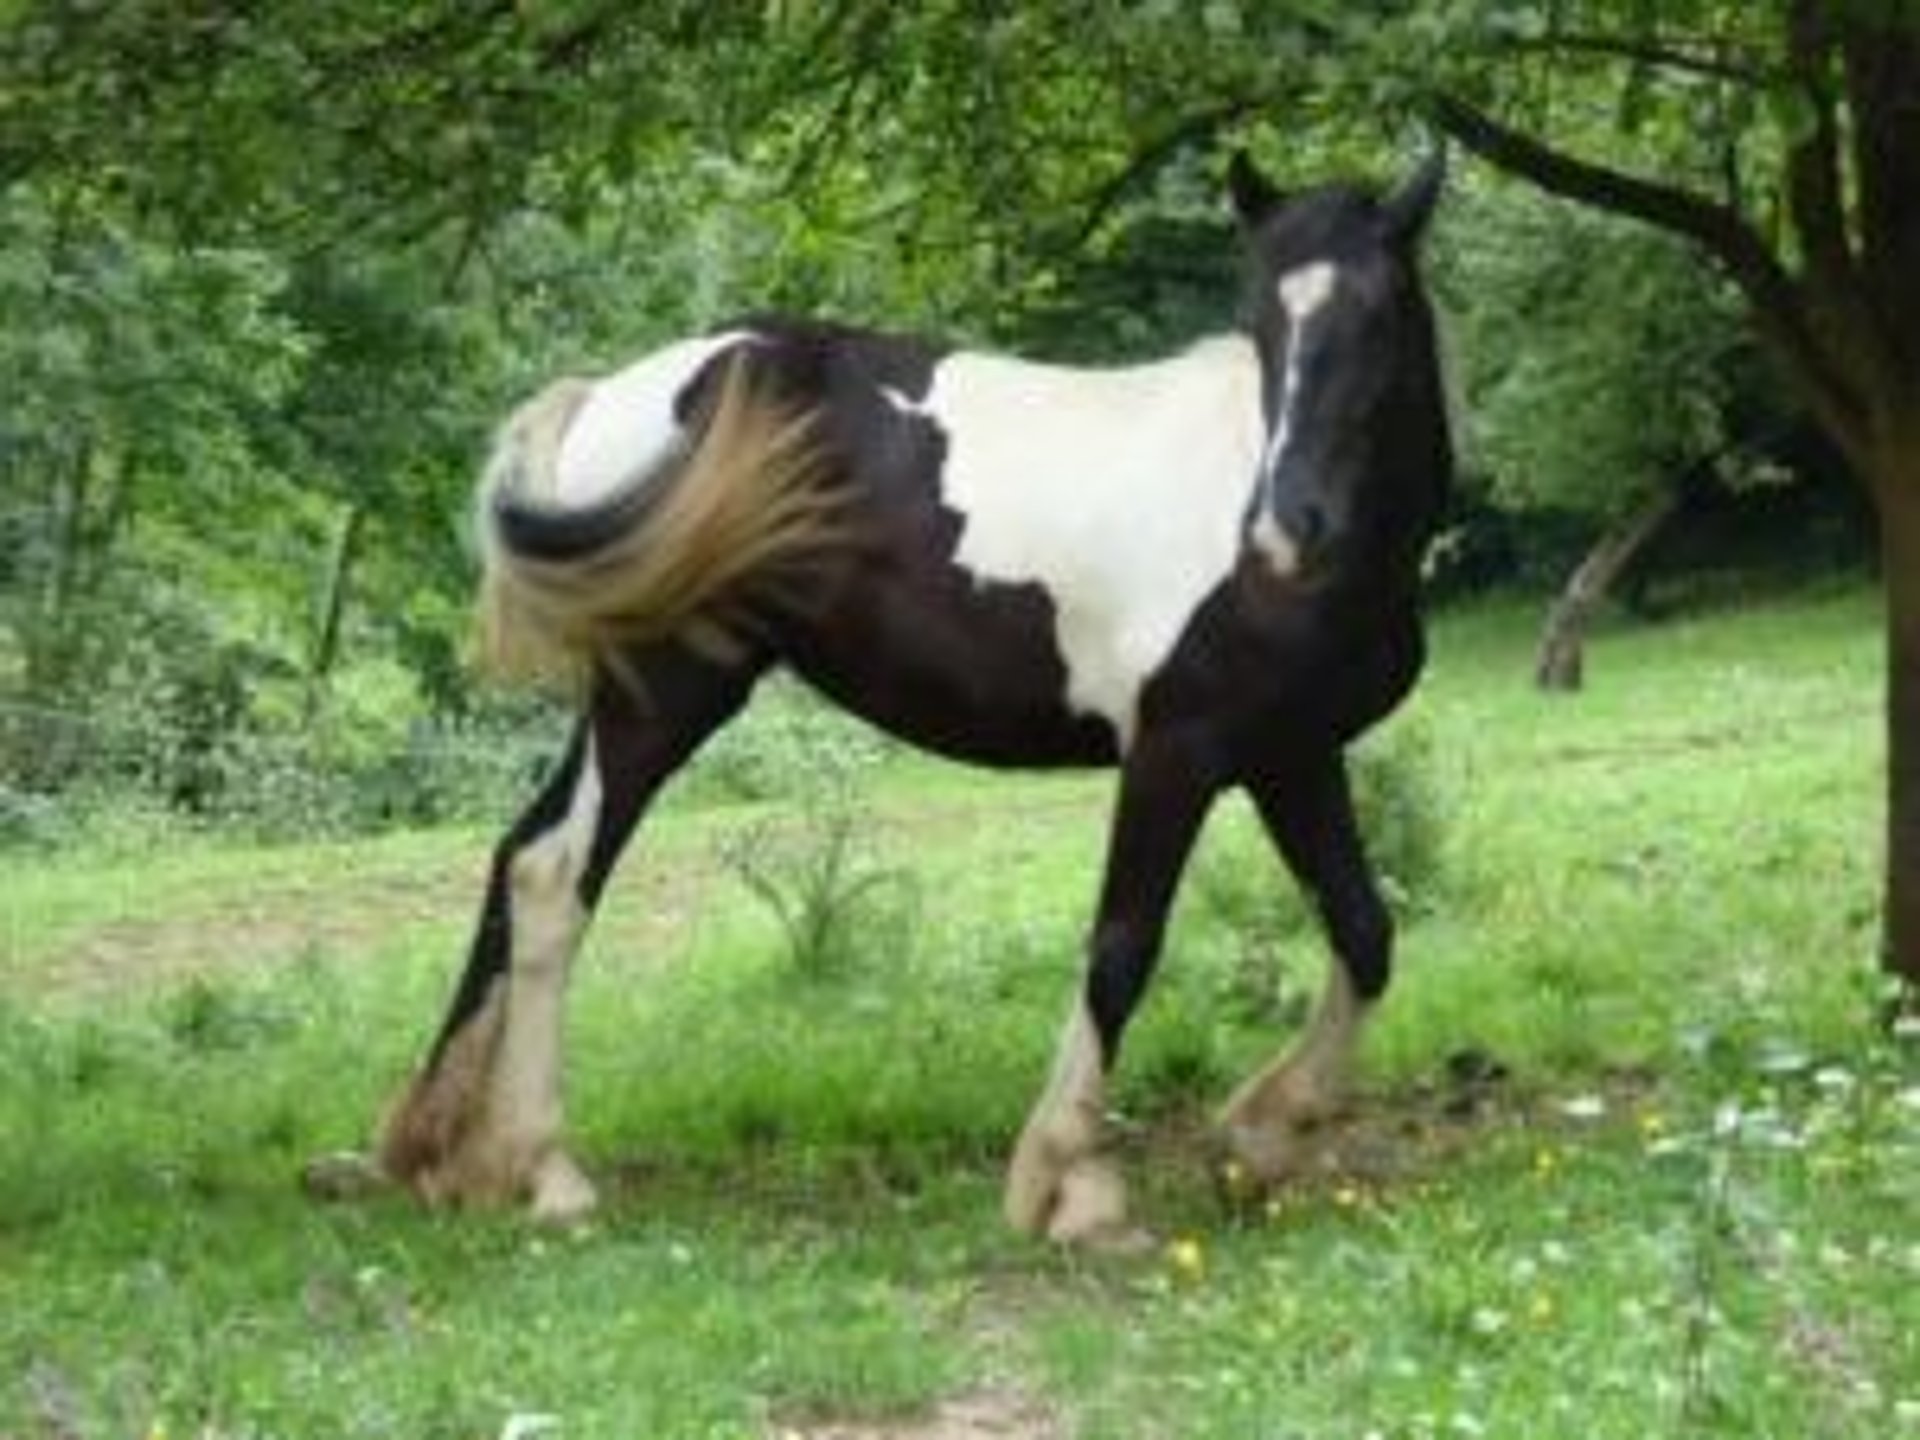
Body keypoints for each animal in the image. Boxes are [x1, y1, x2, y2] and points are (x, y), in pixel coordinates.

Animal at [343, 150, 1454, 1246]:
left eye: (1379, 311)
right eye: (1260, 321)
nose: (1285, 524)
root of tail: (625, 397)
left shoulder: (1291, 752)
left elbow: (1365, 933)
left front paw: (1258, 1139)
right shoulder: (1175, 752)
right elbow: (1122, 952)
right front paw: (1068, 1183)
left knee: (524, 855)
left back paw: (455, 1154)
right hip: (664, 695)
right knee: (558, 875)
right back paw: (543, 1167)